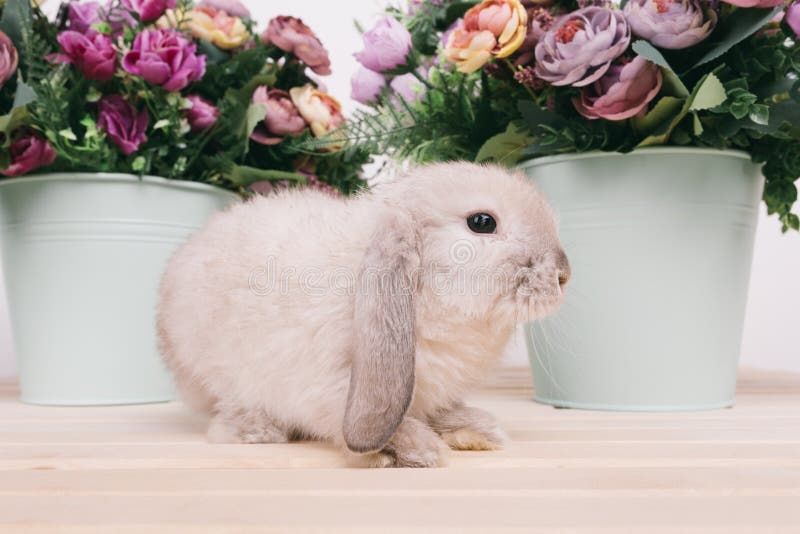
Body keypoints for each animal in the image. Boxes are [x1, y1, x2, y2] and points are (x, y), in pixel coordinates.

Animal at [157, 162, 570, 468]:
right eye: (482, 222)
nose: (564, 275)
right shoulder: (336, 383)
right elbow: (362, 420)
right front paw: (416, 448)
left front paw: (479, 430)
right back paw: (257, 430)